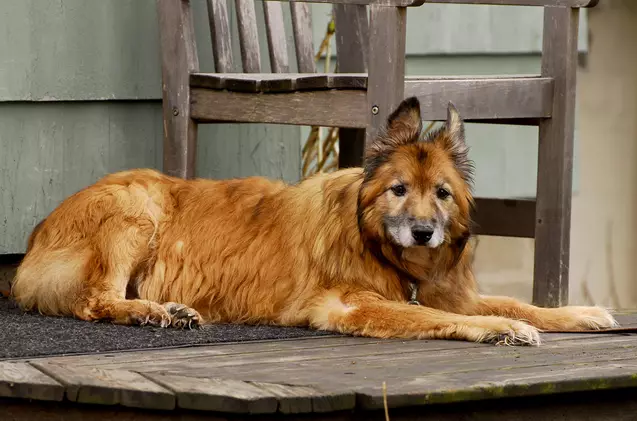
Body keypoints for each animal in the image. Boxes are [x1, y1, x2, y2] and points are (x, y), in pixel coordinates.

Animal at [11, 97, 616, 344]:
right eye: (399, 190)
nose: (423, 232)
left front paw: (578, 314)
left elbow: (518, 301)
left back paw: (172, 309)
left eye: (442, 193)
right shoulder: (354, 304)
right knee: (96, 300)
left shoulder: (450, 289)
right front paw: (501, 329)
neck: (381, 246)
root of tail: (38, 231)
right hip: (136, 212)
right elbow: (450, 317)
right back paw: (151, 313)